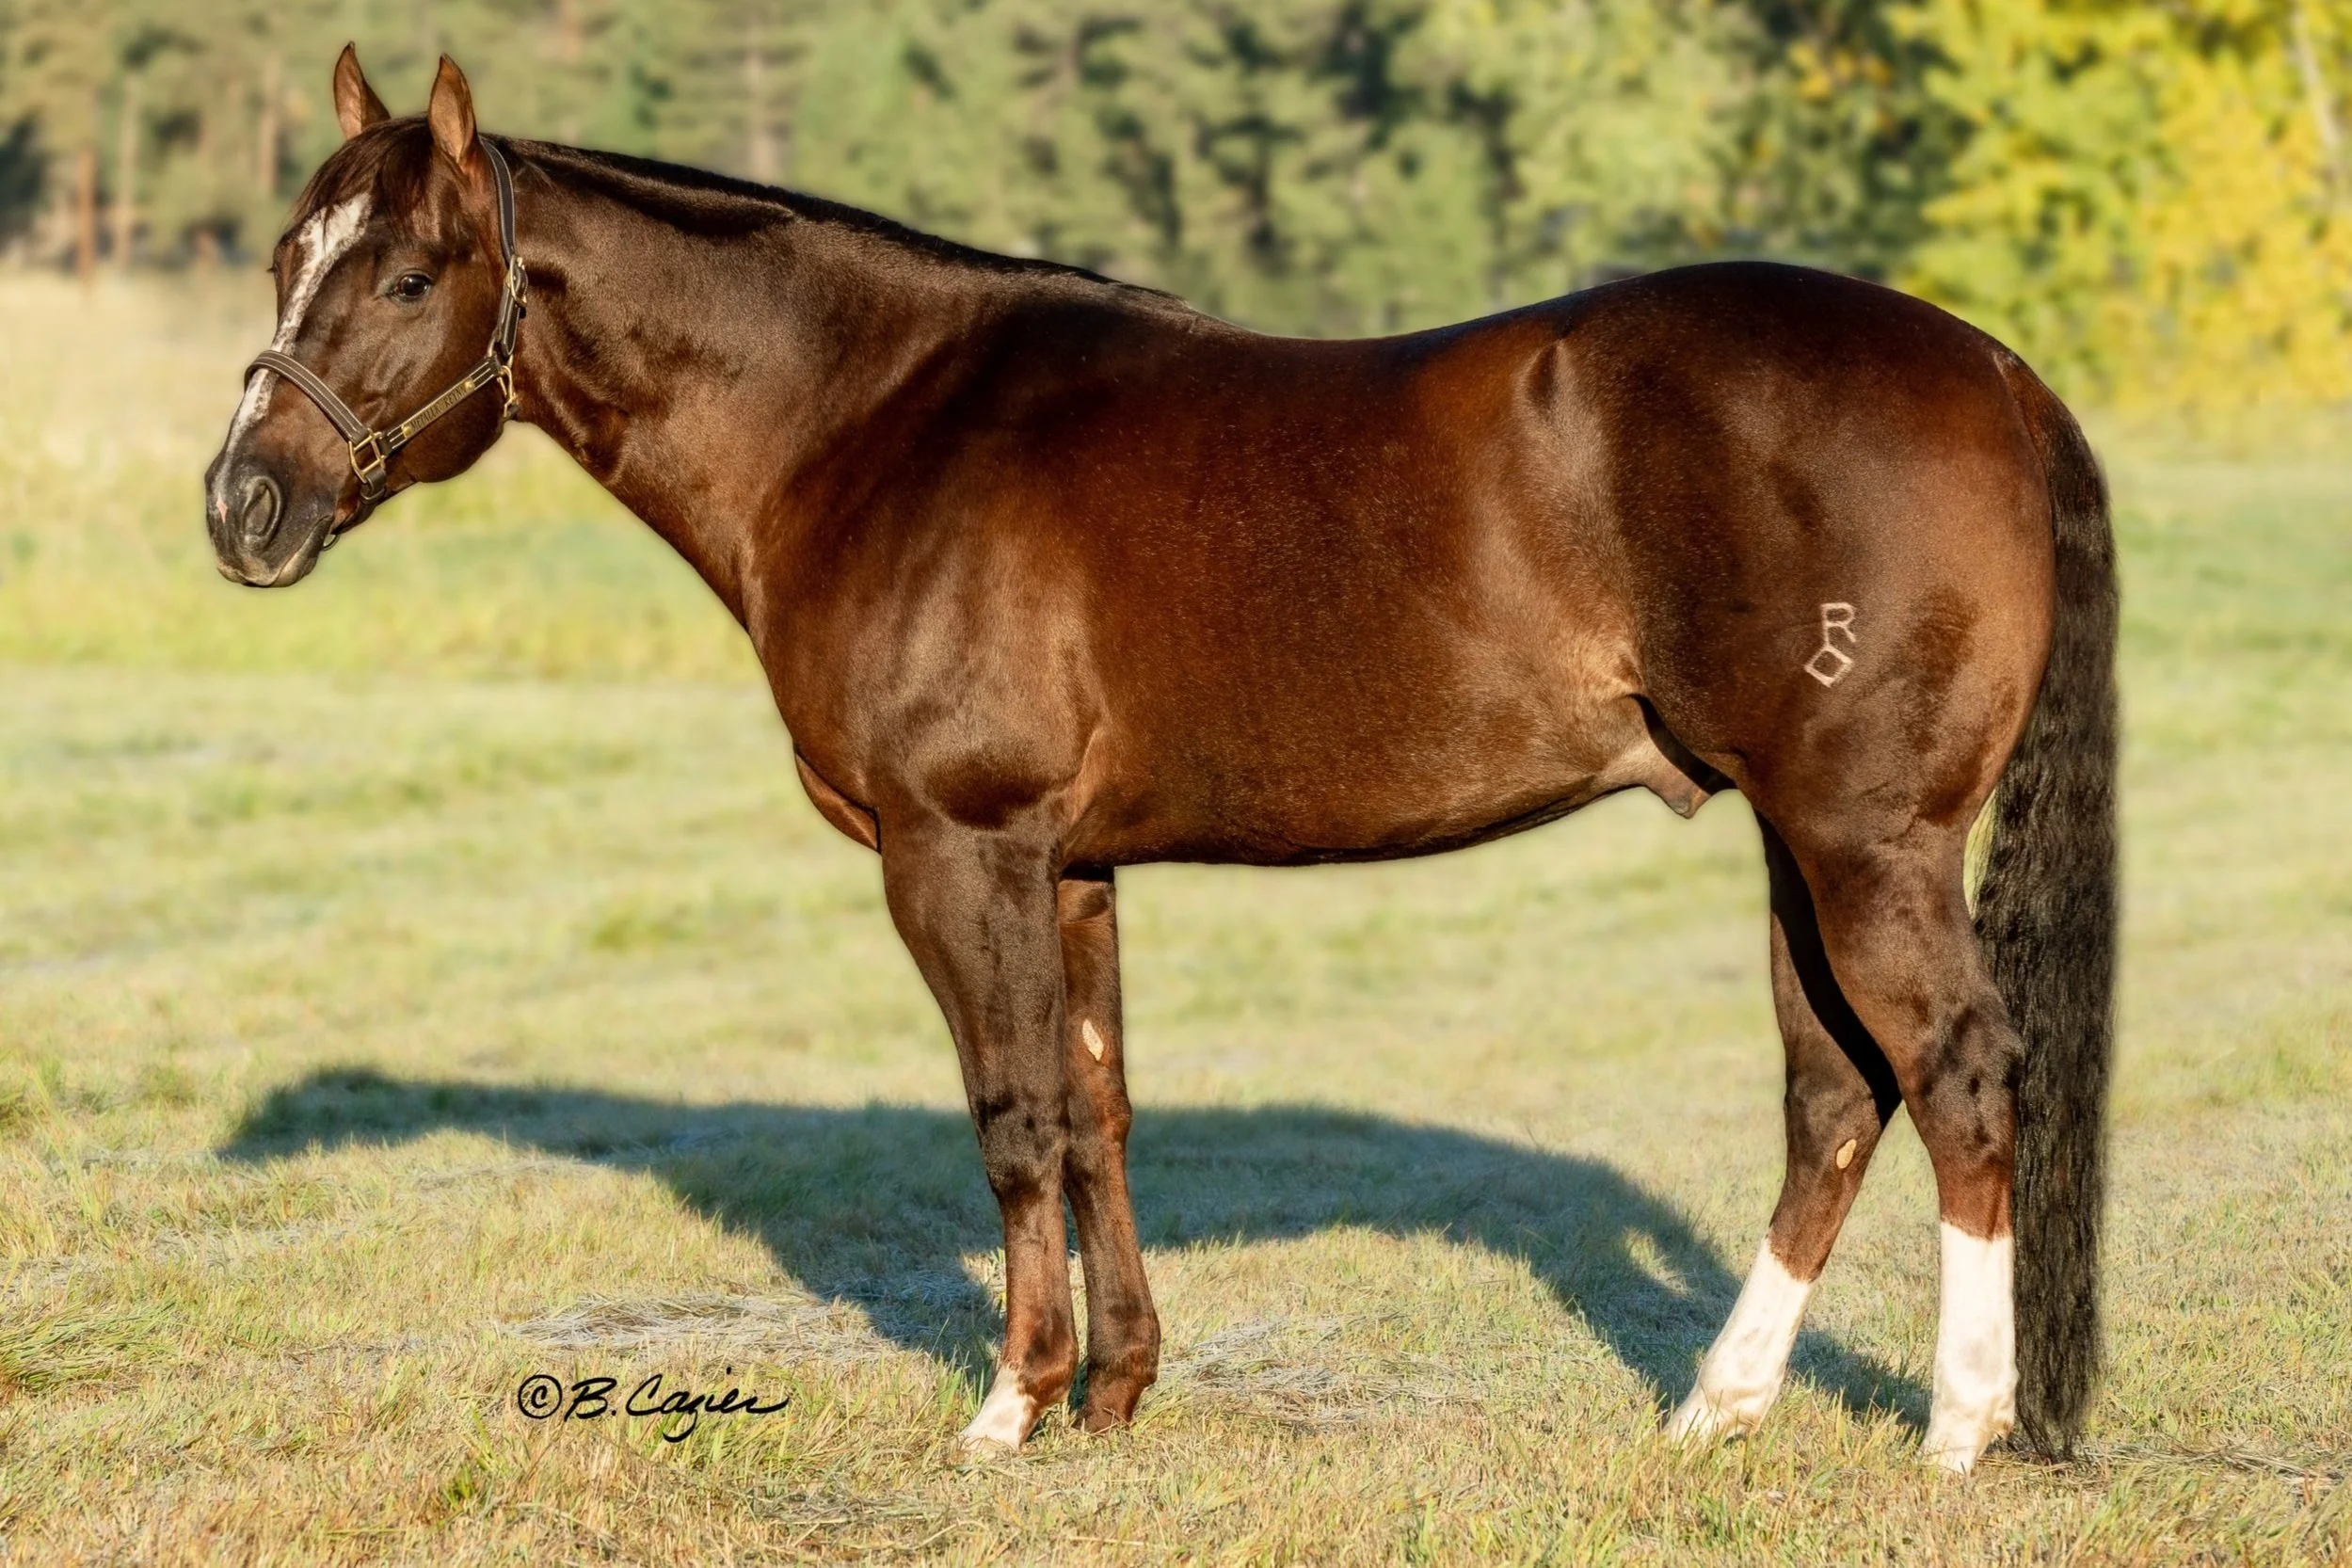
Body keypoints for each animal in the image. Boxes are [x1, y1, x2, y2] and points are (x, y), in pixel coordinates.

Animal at [204, 49, 2116, 1473]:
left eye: (404, 272)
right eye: (285, 257)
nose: (244, 505)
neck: (868, 421)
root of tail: (1994, 368)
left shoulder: (955, 849)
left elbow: (1010, 1115)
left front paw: (1009, 1405)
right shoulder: (1068, 866)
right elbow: (1098, 1109)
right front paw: (1117, 1391)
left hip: (1863, 837)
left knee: (1953, 1070)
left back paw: (1956, 1426)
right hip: (1801, 844)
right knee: (1832, 1095)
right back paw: (1716, 1407)